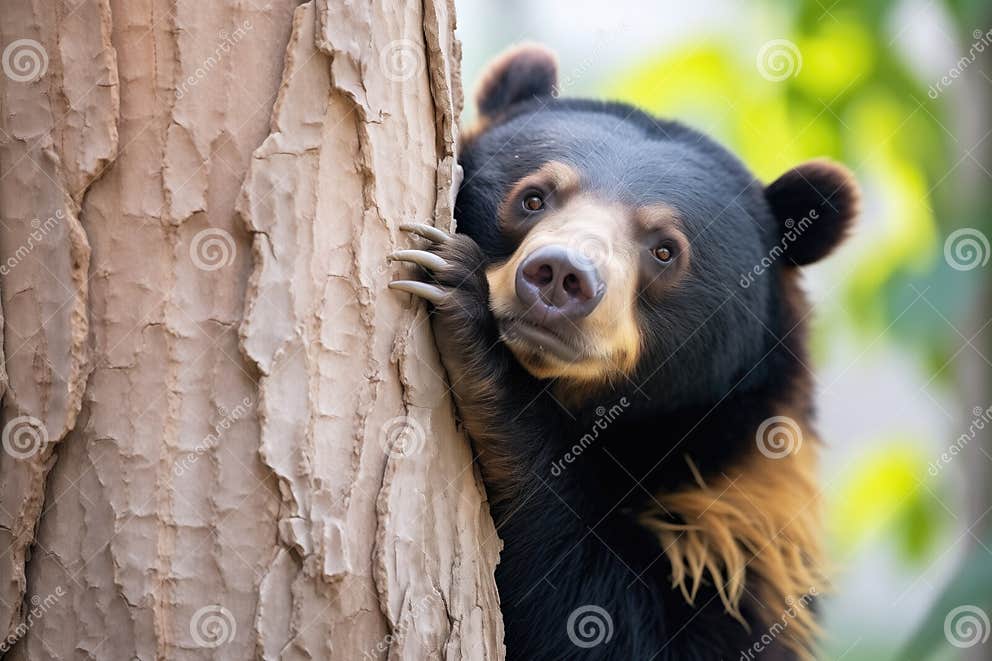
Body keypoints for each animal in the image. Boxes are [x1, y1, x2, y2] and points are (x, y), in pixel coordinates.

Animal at [389, 44, 859, 660]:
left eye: (665, 249)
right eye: (533, 197)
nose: (560, 275)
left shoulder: (744, 507)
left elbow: (619, 622)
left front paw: (470, 318)